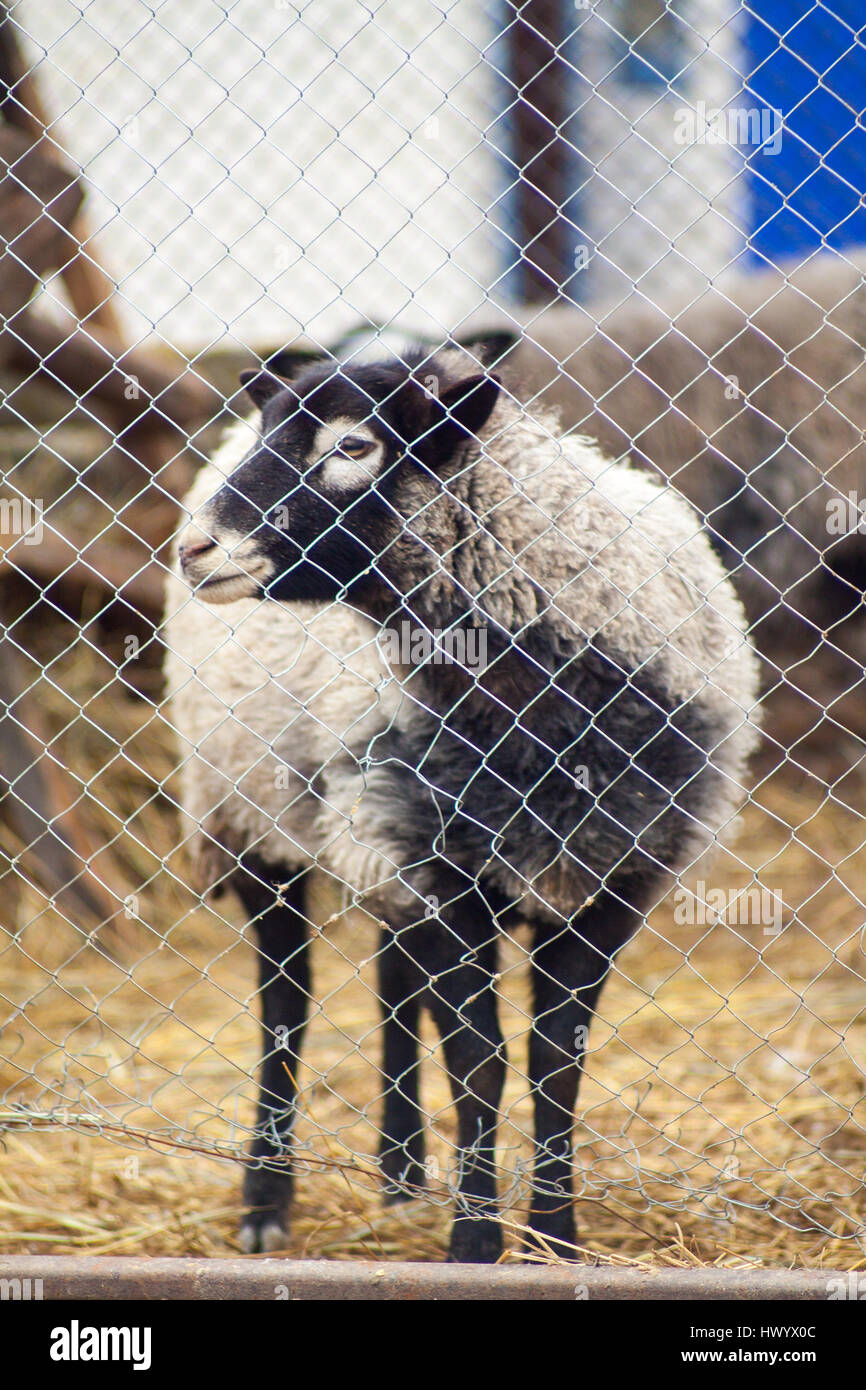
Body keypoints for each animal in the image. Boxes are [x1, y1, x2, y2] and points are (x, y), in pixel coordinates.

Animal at [176, 347, 760, 1261]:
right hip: (251, 809)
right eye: (274, 429)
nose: (196, 547)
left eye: (353, 446)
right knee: (286, 1001)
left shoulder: (617, 871)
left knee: (391, 980)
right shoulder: (439, 866)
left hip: (376, 821)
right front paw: (477, 1244)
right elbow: (479, 1061)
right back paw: (267, 1199)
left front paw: (555, 1238)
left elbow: (558, 1060)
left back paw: (400, 1167)